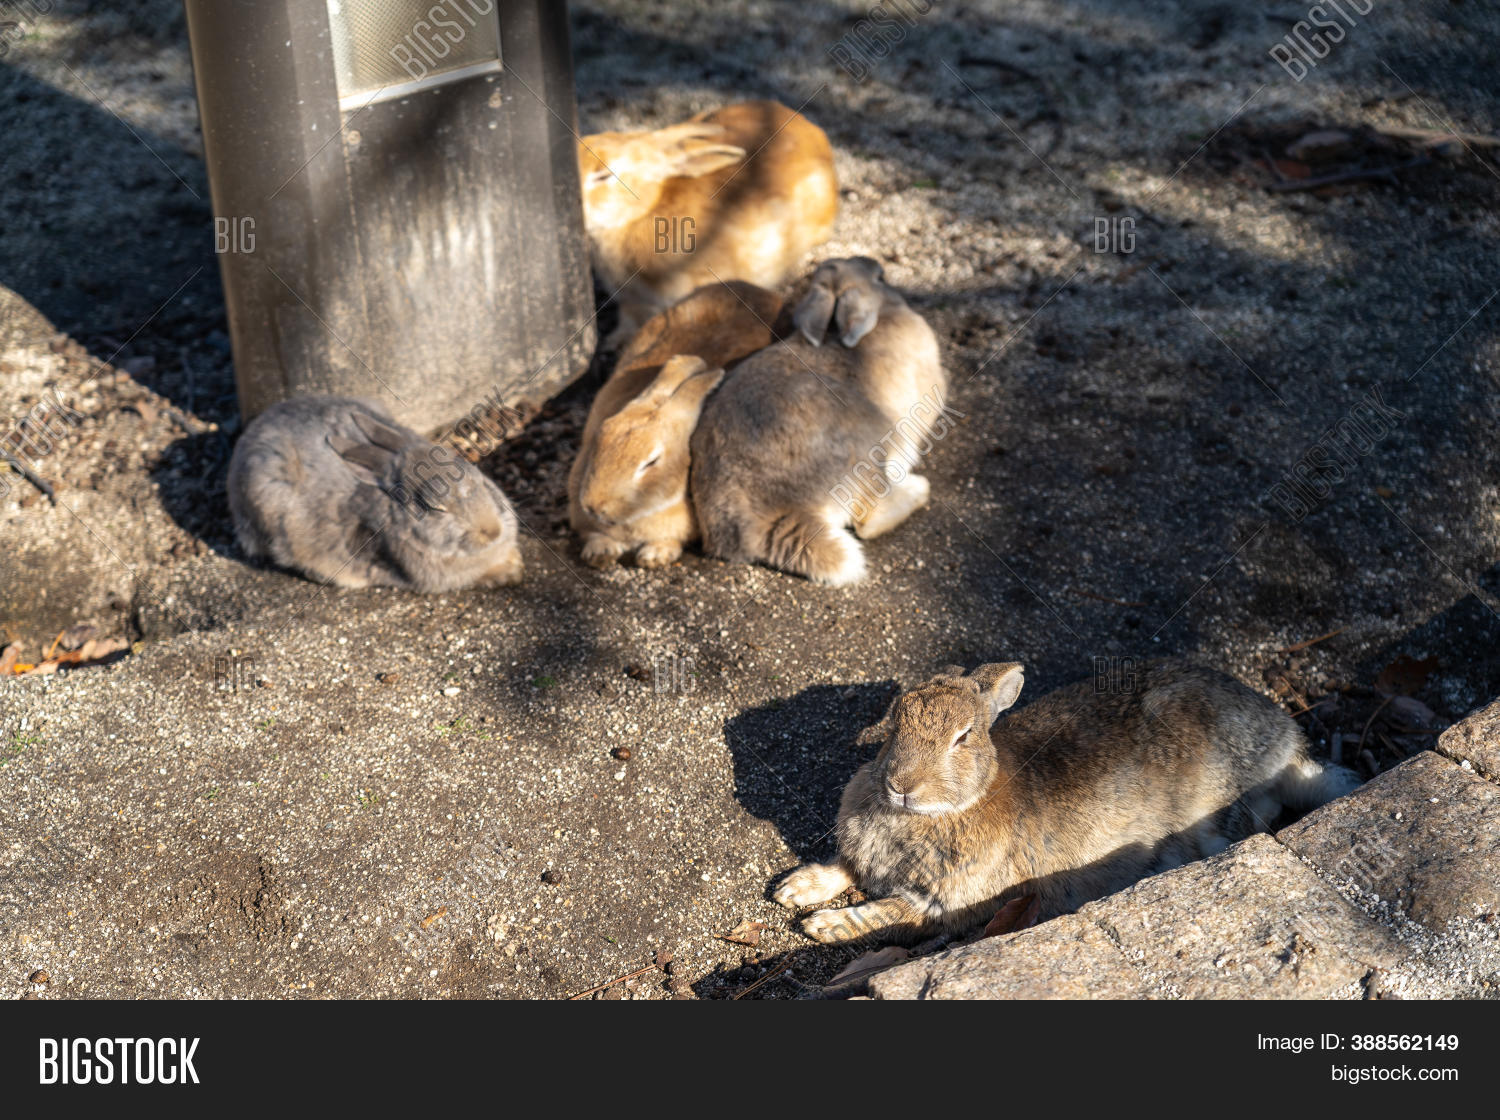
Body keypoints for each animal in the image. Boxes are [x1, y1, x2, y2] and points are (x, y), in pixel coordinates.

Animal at [691, 257, 947, 587]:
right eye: (881, 278)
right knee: (869, 520)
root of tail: (766, 519)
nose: (875, 263)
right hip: (867, 453)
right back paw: (919, 489)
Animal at [775, 659, 1361, 944]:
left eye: (963, 737)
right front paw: (794, 888)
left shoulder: (946, 905)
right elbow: (844, 868)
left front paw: (820, 927)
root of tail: (1285, 743)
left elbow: (887, 913)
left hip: (1216, 806)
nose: (900, 784)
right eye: (896, 719)